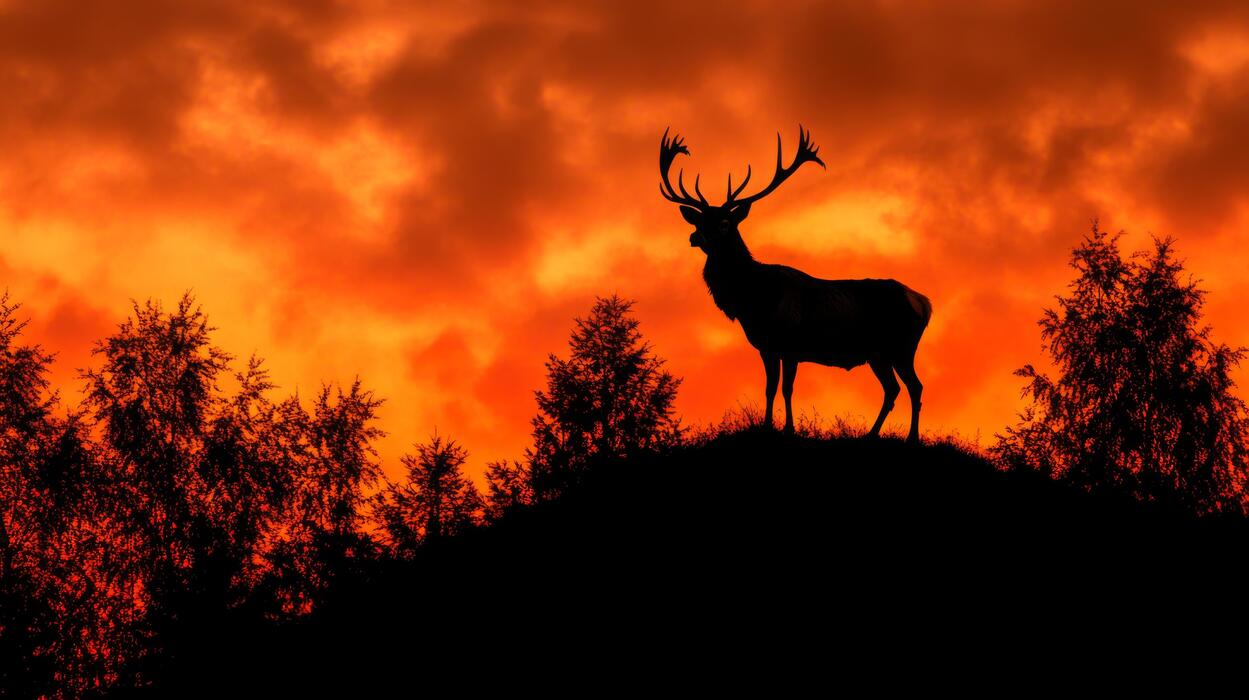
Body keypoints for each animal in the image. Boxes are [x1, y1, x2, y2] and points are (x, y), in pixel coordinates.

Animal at [659, 126, 932, 443]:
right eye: (700, 222)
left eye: (725, 222)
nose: (695, 237)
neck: (754, 300)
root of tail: (924, 303)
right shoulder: (766, 346)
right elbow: (769, 388)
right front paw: (767, 427)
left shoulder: (790, 343)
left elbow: (787, 389)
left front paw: (789, 429)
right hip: (879, 353)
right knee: (893, 389)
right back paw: (871, 434)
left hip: (902, 346)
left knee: (914, 386)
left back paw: (911, 437)